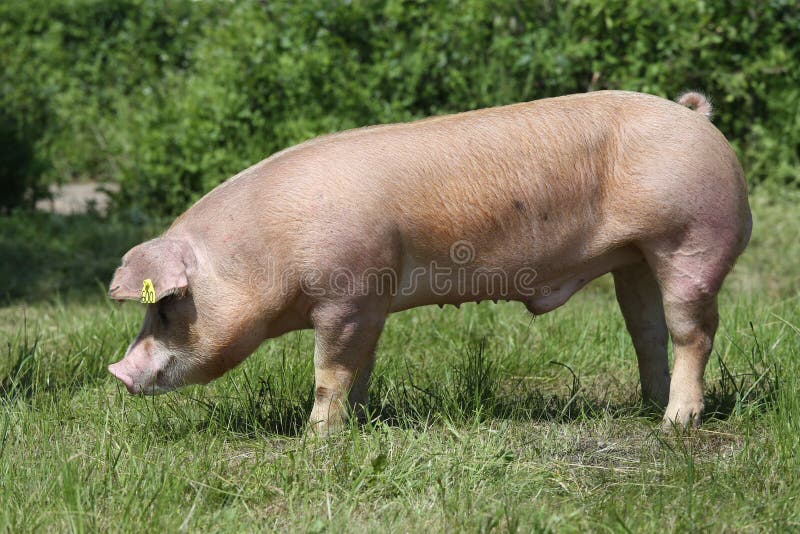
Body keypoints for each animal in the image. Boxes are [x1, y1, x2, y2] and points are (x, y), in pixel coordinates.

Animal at [108, 90, 752, 434]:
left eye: (168, 308)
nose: (116, 372)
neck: (267, 250)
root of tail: (696, 116)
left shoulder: (347, 293)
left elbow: (329, 372)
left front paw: (315, 440)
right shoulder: (369, 302)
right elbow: (357, 369)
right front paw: (355, 424)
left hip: (693, 238)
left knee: (693, 330)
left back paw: (676, 423)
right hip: (634, 257)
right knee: (646, 330)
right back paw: (648, 407)